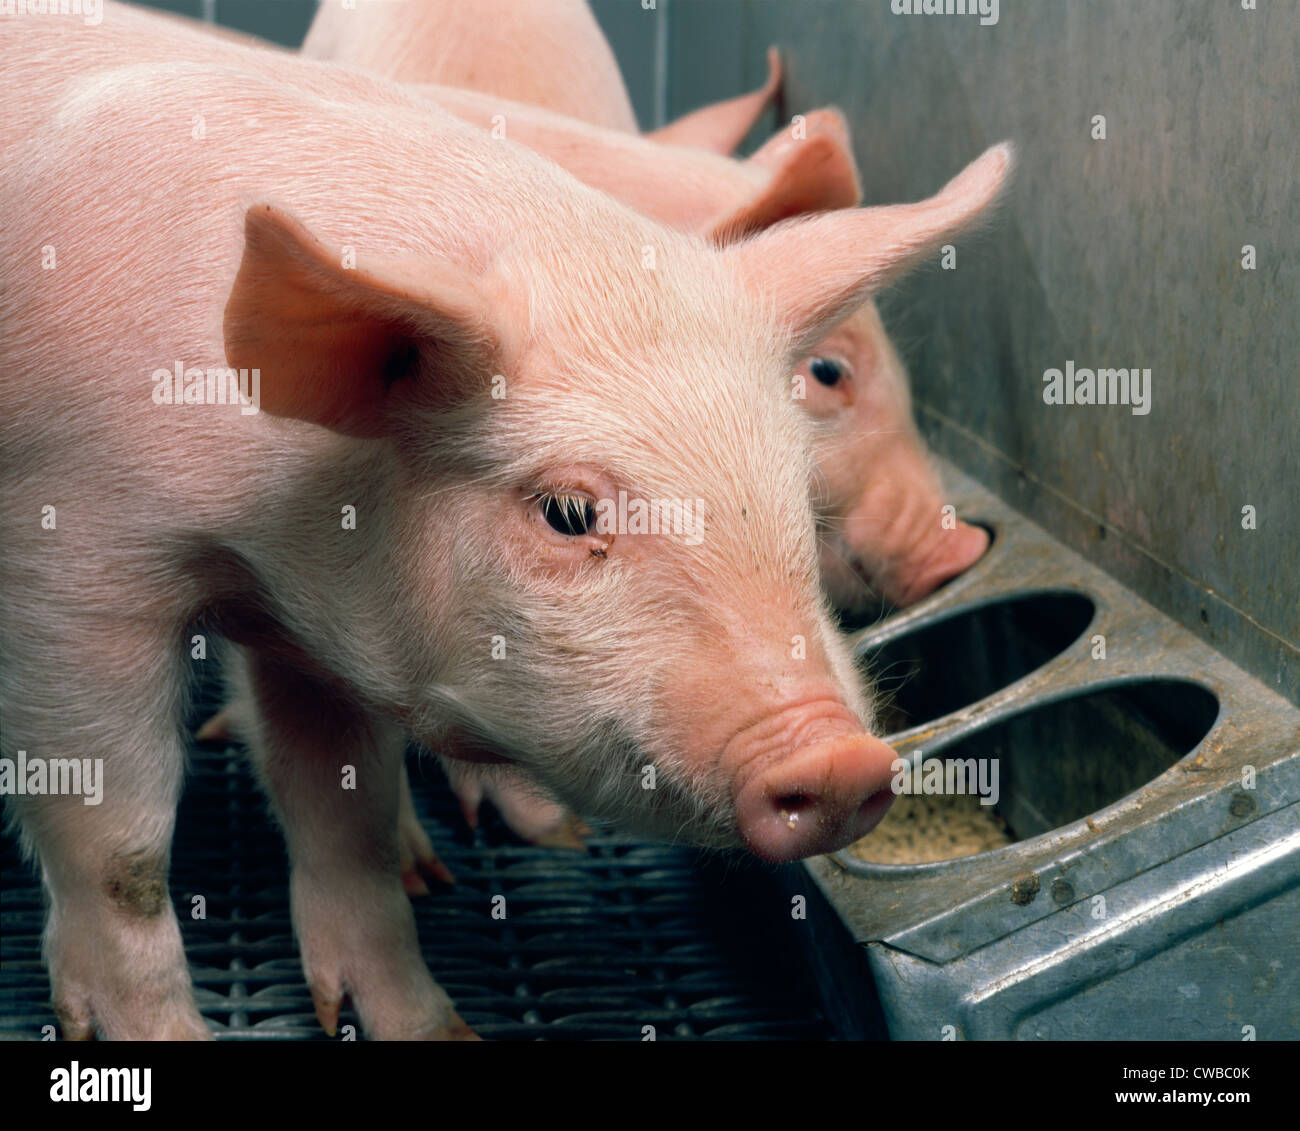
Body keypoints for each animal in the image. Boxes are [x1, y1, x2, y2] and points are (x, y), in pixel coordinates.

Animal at [0, 2, 1010, 1039]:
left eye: (791, 481)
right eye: (566, 510)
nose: (845, 757)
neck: (270, 533)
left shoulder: (307, 621)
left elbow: (343, 815)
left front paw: (436, 1017)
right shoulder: (69, 572)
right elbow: (119, 852)